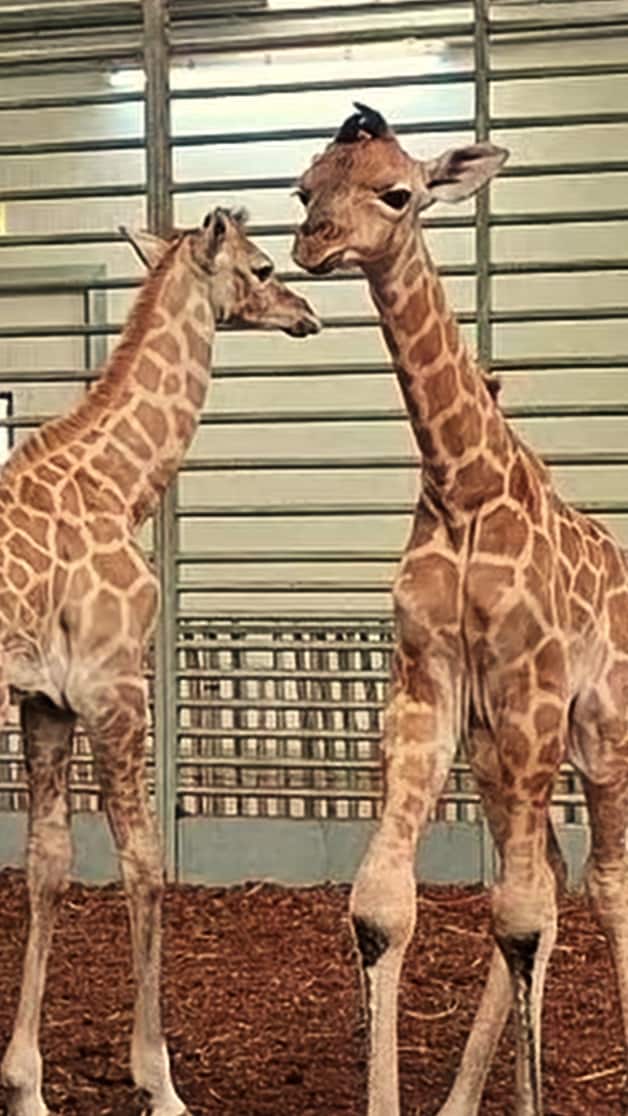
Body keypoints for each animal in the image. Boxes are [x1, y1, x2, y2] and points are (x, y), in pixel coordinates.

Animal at [0, 206, 320, 1116]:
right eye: (261, 264)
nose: (303, 311)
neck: (120, 481)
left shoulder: (47, 701)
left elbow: (48, 864)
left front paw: (25, 1085)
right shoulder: (116, 688)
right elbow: (143, 864)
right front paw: (160, 1081)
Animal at [292, 103, 628, 1116]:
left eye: (397, 192)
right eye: (305, 185)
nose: (312, 242)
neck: (463, 484)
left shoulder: (531, 693)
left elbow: (522, 917)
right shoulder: (428, 688)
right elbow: (384, 907)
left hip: (598, 728)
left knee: (603, 879)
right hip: (495, 750)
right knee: (552, 876)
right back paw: (470, 1096)